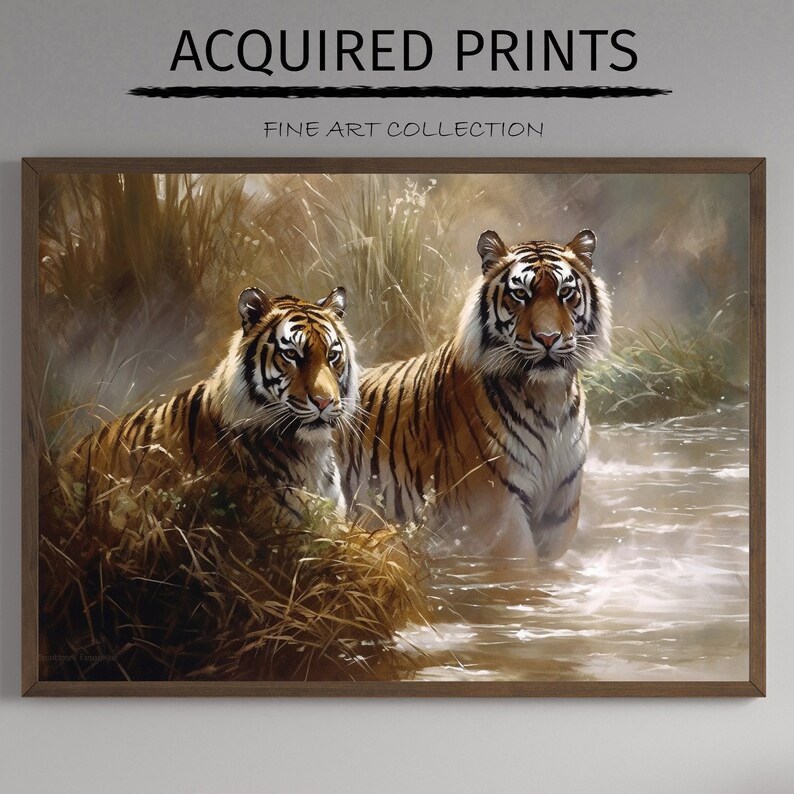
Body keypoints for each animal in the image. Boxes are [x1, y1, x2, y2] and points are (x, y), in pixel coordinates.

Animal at [339, 229, 611, 562]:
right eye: (521, 294)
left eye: (565, 292)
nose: (548, 338)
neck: (548, 396)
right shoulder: (495, 511)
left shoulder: (559, 513)